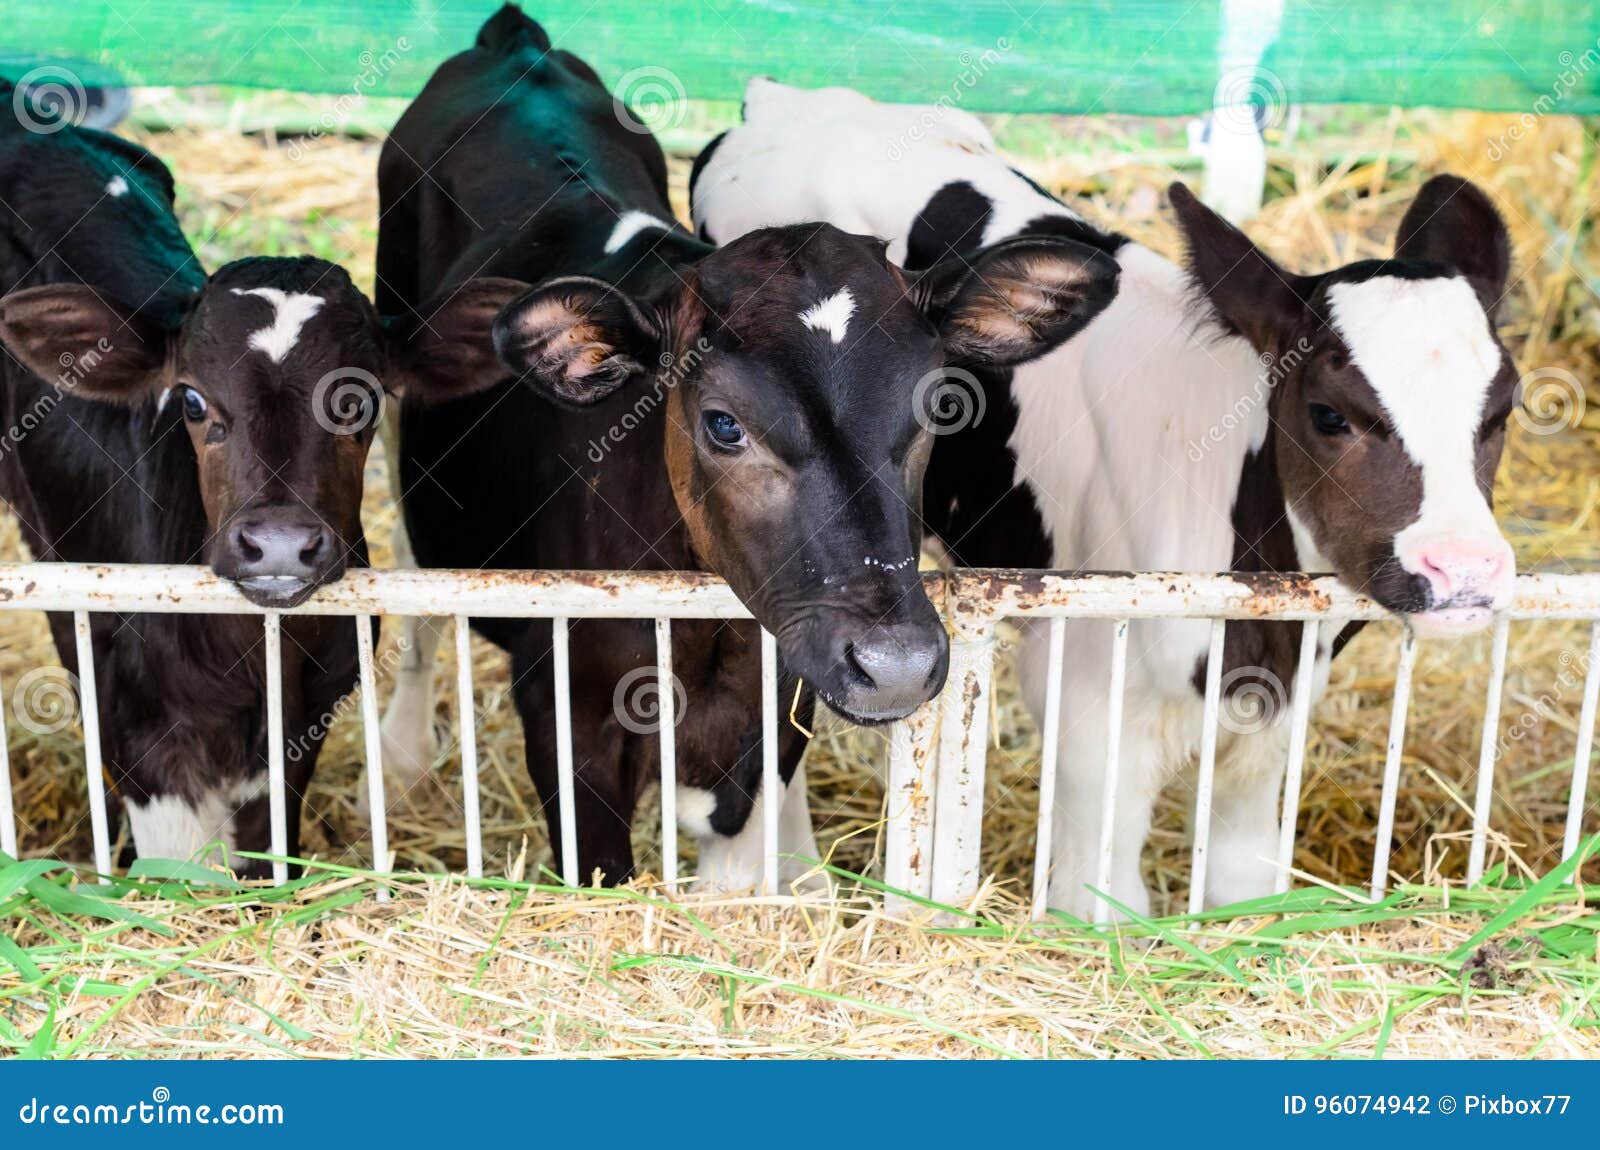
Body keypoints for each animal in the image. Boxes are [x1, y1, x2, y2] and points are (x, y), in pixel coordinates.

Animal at [374, 6, 1119, 889]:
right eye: (724, 423)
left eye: (939, 402)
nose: (895, 661)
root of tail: (515, 42)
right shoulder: (564, 710)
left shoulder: (772, 711)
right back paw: (402, 754)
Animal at [691, 79, 1519, 917]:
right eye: (1328, 414)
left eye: (1504, 408)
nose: (1464, 569)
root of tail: (779, 101)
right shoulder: (1089, 708)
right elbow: (1101, 903)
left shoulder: (1274, 722)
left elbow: (1241, 885)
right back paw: (797, 874)